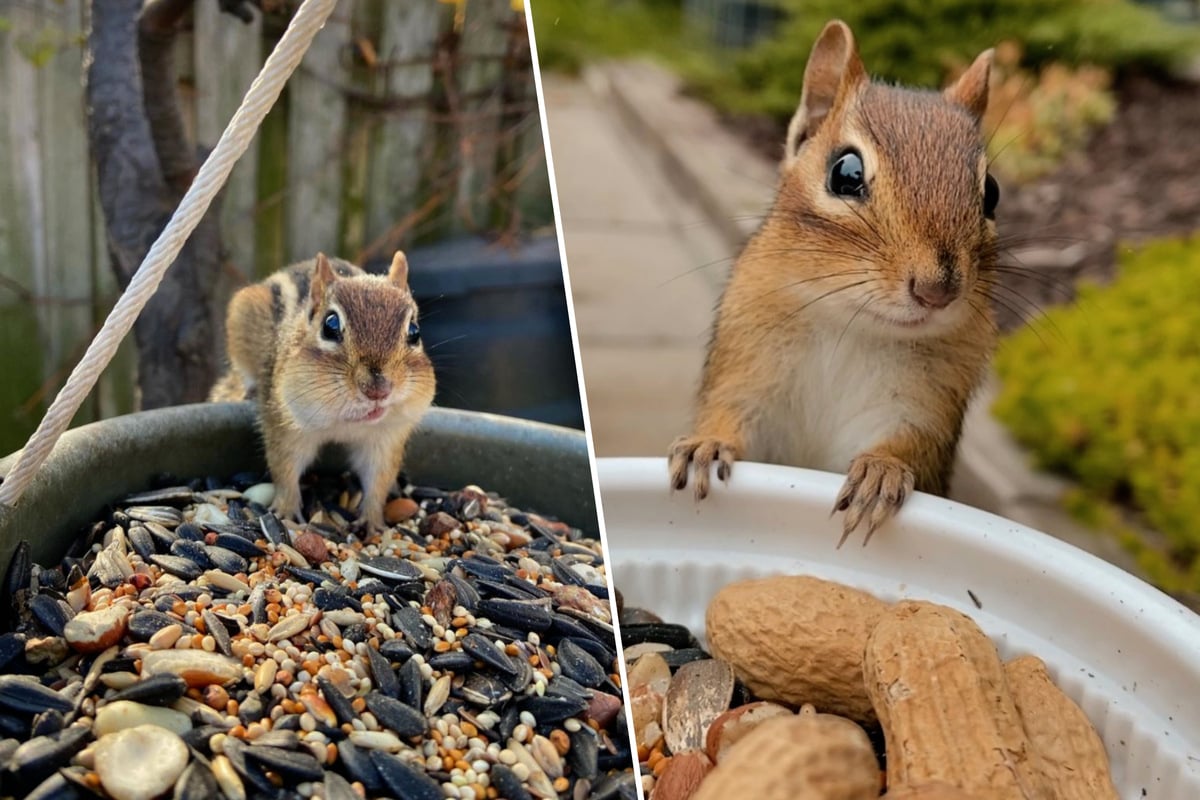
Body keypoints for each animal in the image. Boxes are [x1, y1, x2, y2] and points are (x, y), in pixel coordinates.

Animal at [209, 251, 436, 530]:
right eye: (330, 325)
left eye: (414, 332)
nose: (378, 391)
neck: (343, 423)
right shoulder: (284, 423)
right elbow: (284, 468)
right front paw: (285, 511)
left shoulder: (385, 437)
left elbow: (378, 480)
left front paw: (372, 521)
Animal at [668, 20, 999, 546]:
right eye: (846, 172)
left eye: (992, 193)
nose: (938, 290)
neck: (852, 325)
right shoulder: (746, 373)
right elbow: (729, 412)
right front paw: (707, 444)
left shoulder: (927, 406)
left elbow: (909, 445)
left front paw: (880, 471)